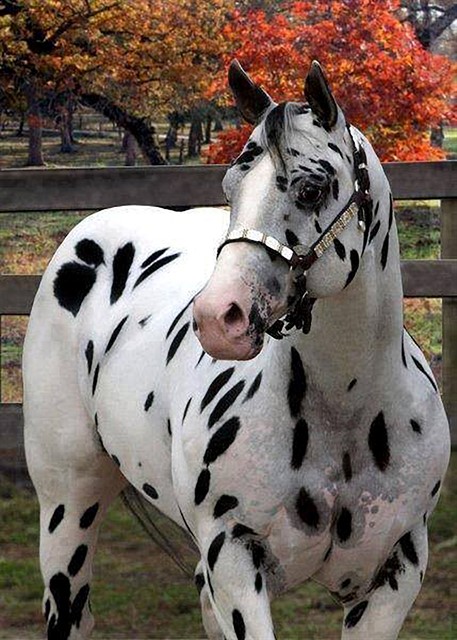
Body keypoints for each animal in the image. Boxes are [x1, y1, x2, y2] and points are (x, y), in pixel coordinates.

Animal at [23, 60, 450, 640]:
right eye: (231, 187)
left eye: (312, 188)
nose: (216, 318)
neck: (346, 411)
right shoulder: (235, 559)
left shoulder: (396, 572)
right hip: (68, 504)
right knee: (69, 607)